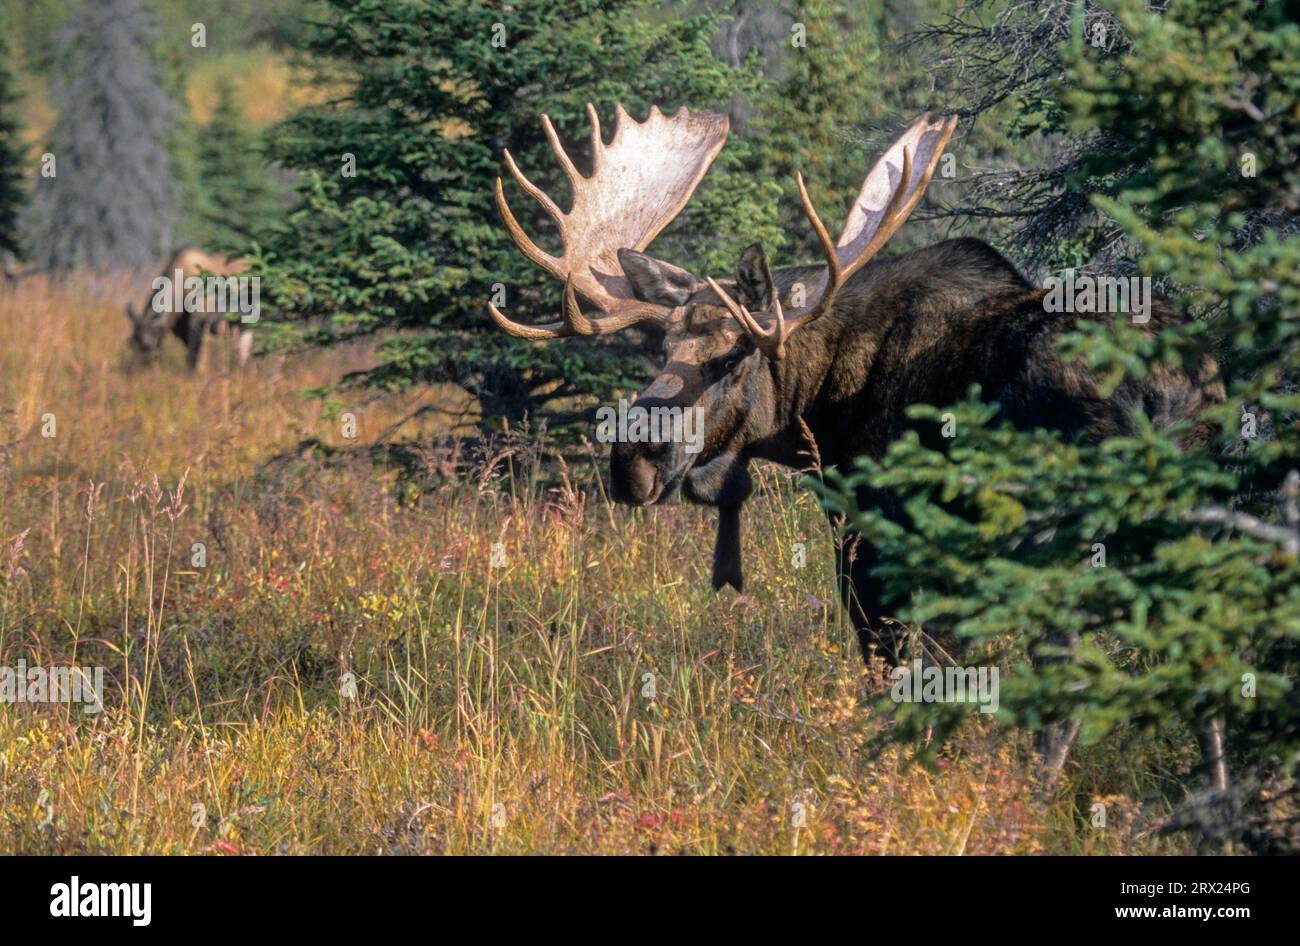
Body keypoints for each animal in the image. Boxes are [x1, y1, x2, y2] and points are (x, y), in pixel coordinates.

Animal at [125, 247, 254, 371]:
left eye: (147, 346)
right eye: (130, 343)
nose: (131, 370)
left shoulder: (199, 322)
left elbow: (194, 352)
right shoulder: (180, 329)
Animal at [485, 104, 1227, 788]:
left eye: (733, 357)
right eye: (661, 347)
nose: (630, 461)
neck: (823, 403)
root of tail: (1164, 391)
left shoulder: (874, 531)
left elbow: (899, 666)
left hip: (1062, 535)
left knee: (1066, 671)